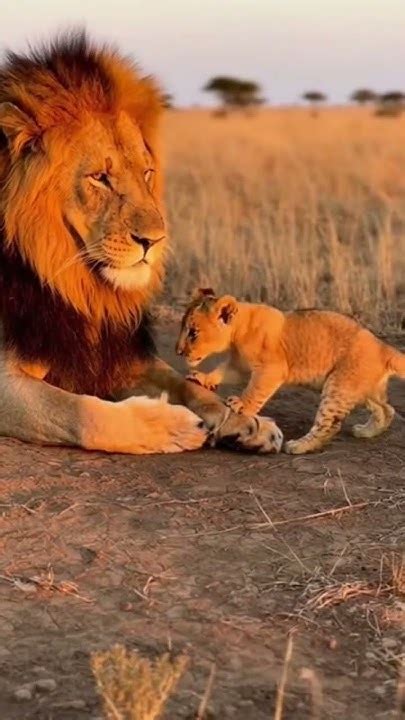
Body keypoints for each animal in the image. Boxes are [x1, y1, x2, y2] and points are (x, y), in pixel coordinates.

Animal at [0, 32, 283, 455]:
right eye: (100, 177)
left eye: (147, 173)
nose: (155, 241)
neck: (73, 284)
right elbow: (82, 412)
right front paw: (175, 426)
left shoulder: (120, 354)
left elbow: (187, 385)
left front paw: (244, 422)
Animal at [176, 288, 405, 454]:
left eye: (193, 333)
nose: (178, 352)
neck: (239, 329)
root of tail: (383, 347)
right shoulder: (239, 365)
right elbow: (222, 371)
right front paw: (202, 378)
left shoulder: (271, 369)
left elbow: (254, 390)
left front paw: (242, 405)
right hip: (363, 388)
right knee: (387, 409)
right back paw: (366, 432)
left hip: (339, 385)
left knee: (329, 425)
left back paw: (298, 446)